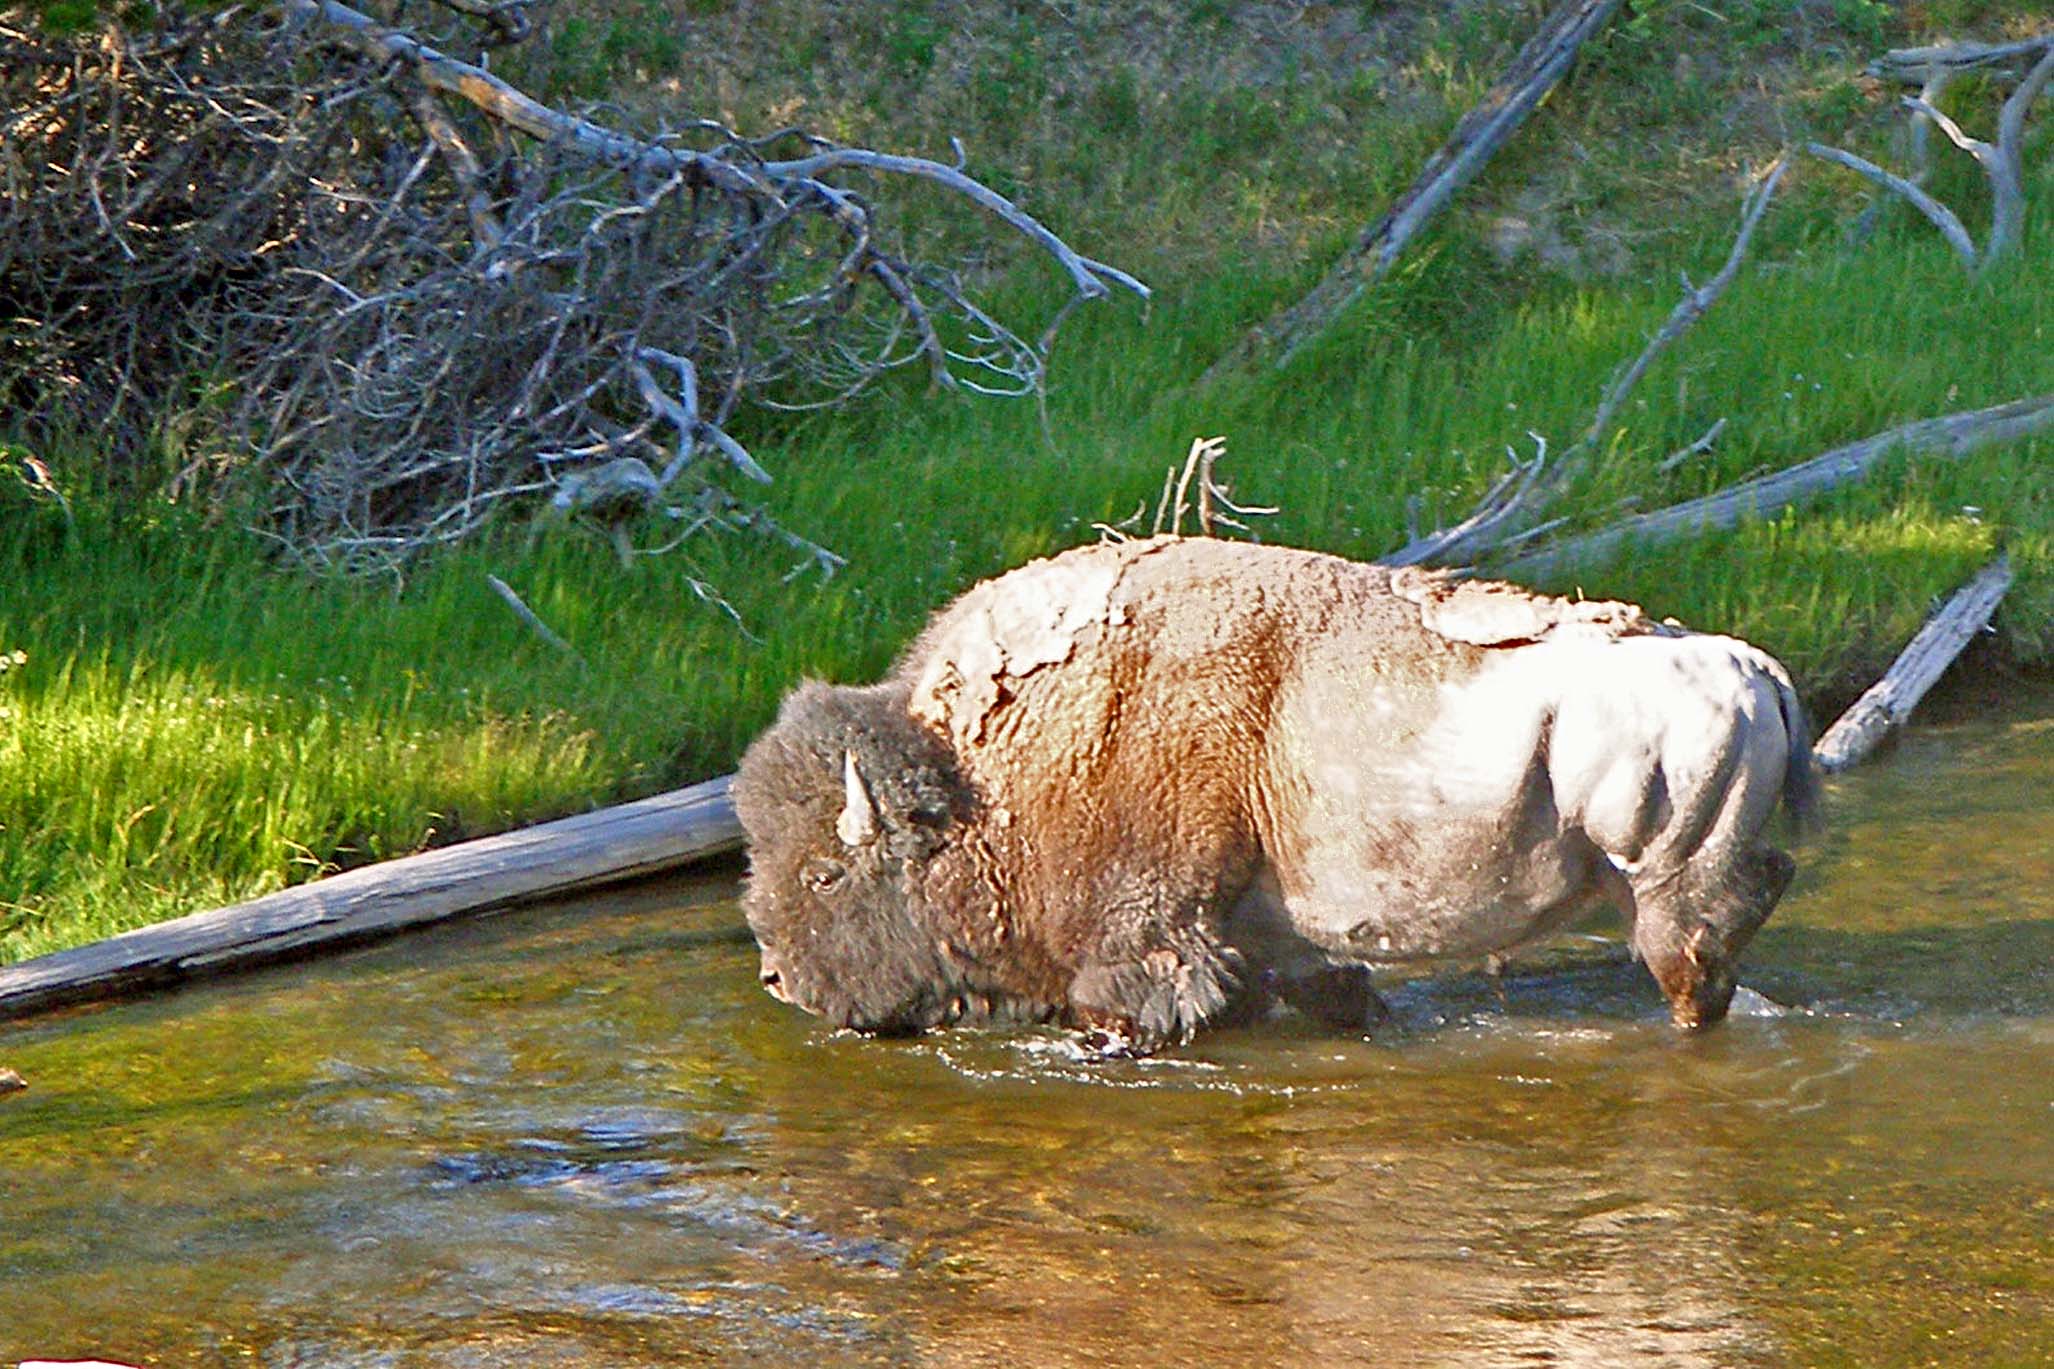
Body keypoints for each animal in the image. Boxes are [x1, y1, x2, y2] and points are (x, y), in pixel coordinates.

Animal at [734, 536, 1819, 1050]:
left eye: (828, 872)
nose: (777, 978)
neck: (983, 782)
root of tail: (1754, 667)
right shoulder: (1277, 944)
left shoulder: (1145, 950)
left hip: (1670, 896)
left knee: (1696, 964)